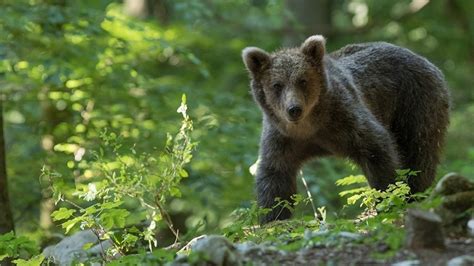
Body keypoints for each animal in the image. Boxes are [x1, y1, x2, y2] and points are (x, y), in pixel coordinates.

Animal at [243, 35, 450, 222]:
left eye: (302, 80)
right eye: (277, 85)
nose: (294, 109)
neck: (311, 127)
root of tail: (422, 58)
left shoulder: (346, 118)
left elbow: (377, 149)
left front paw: (389, 199)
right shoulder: (283, 138)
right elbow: (274, 175)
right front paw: (272, 217)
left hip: (415, 102)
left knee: (419, 153)